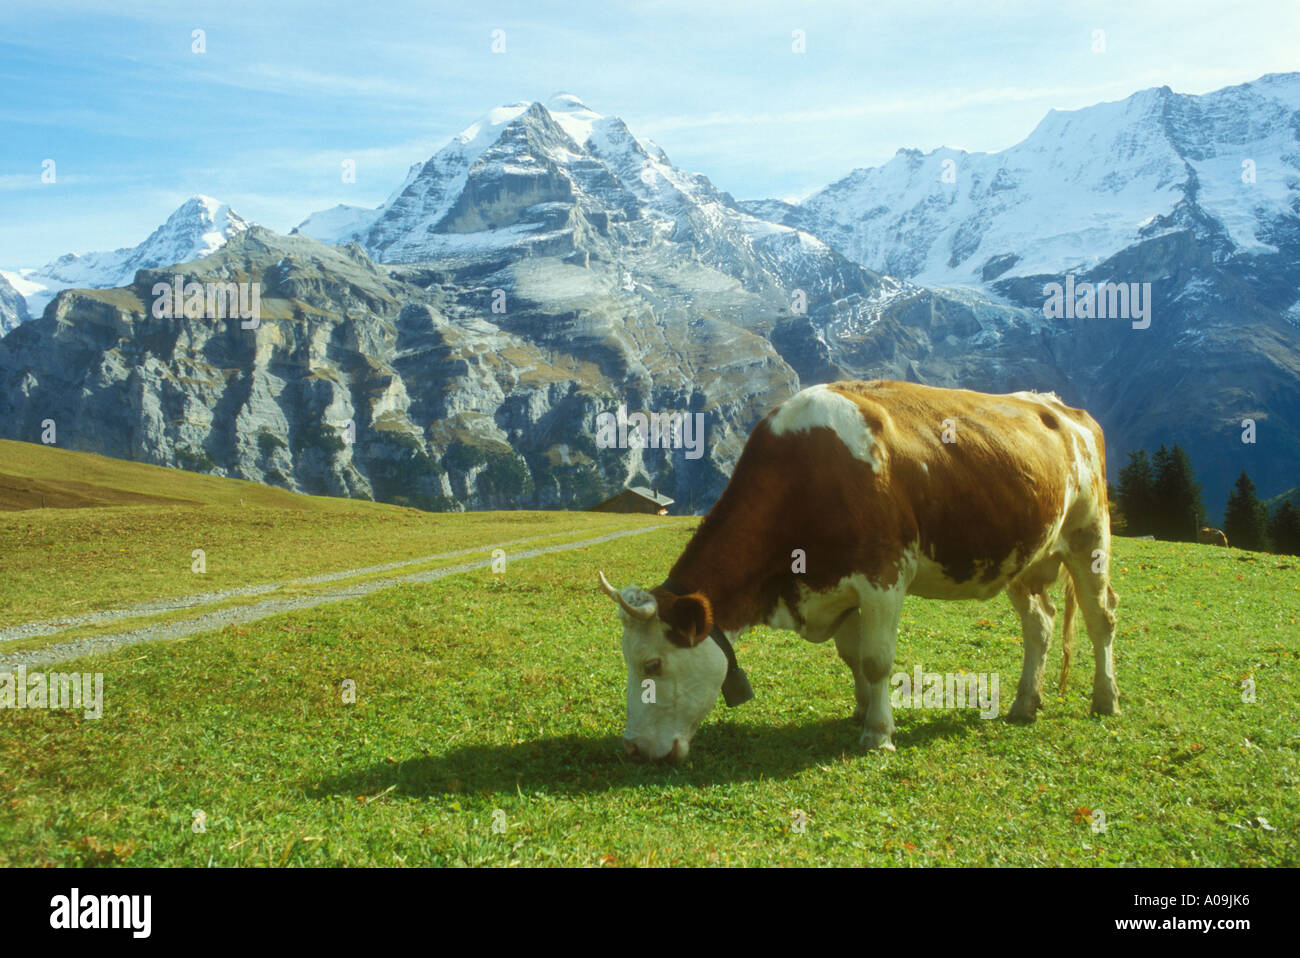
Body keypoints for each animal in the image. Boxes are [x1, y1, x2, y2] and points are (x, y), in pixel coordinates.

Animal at [599, 380, 1120, 761]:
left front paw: (878, 733)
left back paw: (1105, 700)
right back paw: (1025, 703)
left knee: (1101, 619)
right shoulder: (839, 588)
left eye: (652, 664)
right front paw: (862, 710)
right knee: (1040, 624)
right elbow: (852, 656)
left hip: (1089, 534)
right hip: (1022, 559)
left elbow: (876, 659)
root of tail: (1063, 407)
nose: (633, 748)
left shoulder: (883, 577)